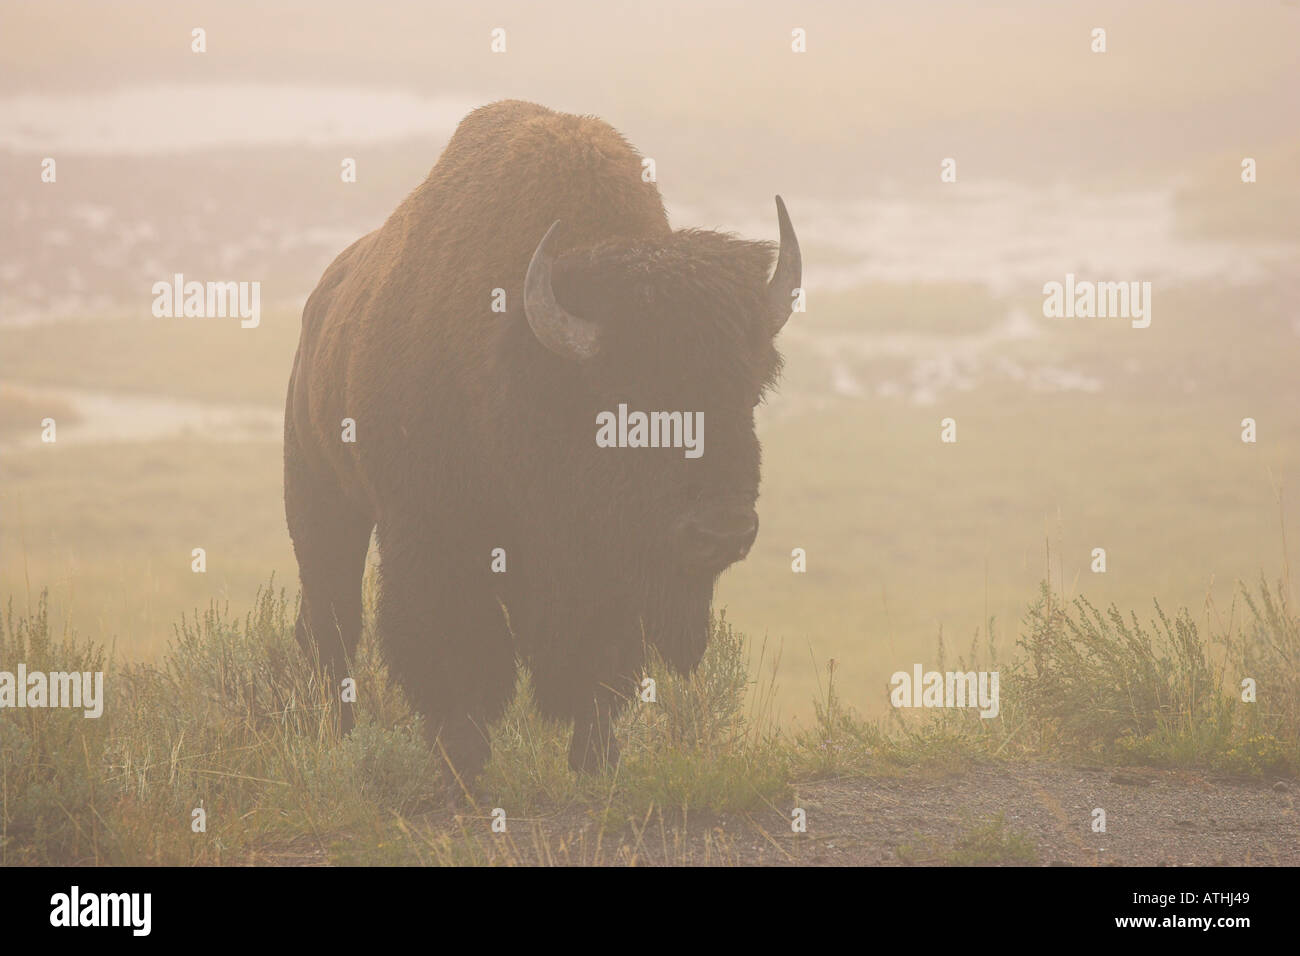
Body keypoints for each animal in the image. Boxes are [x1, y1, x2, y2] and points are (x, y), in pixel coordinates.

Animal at [284, 100, 800, 781]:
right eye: (627, 405)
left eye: (750, 389)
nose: (722, 531)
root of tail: (322, 303)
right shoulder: (438, 537)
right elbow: (457, 651)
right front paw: (464, 762)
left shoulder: (607, 569)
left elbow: (602, 663)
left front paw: (597, 758)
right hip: (321, 497)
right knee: (332, 622)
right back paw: (341, 737)